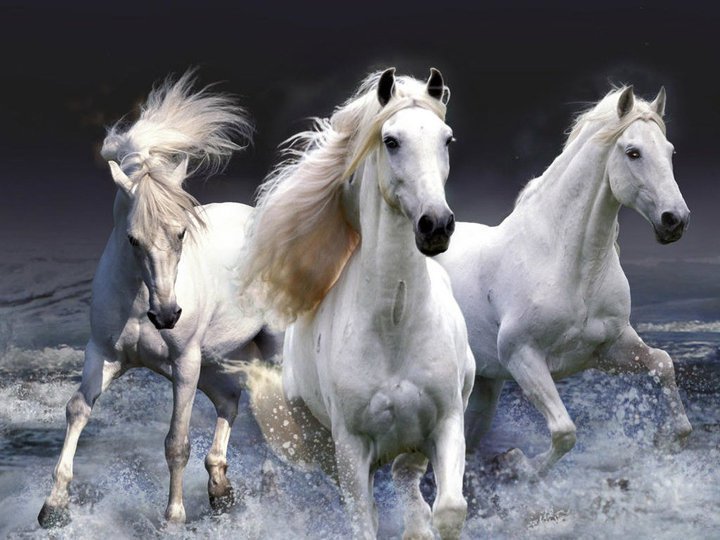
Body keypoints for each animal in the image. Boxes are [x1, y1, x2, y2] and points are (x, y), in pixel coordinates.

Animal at [38, 73, 280, 528]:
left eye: (181, 232)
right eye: (133, 239)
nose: (167, 315)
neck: (139, 302)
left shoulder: (184, 363)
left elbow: (176, 442)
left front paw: (174, 518)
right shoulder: (104, 354)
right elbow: (77, 409)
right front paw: (53, 508)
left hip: (265, 350)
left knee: (275, 409)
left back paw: (269, 486)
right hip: (216, 361)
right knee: (230, 401)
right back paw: (220, 490)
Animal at [240, 68, 475, 539]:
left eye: (447, 139)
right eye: (391, 140)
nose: (436, 225)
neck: (395, 325)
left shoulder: (446, 422)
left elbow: (450, 509)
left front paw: (429, 525)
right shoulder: (350, 448)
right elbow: (363, 521)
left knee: (406, 478)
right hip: (322, 444)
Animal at [436, 86, 692, 477]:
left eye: (670, 151)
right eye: (633, 152)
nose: (675, 220)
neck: (568, 266)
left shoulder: (608, 349)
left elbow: (663, 363)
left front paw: (666, 440)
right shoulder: (522, 356)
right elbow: (564, 431)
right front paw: (518, 465)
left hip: (484, 386)